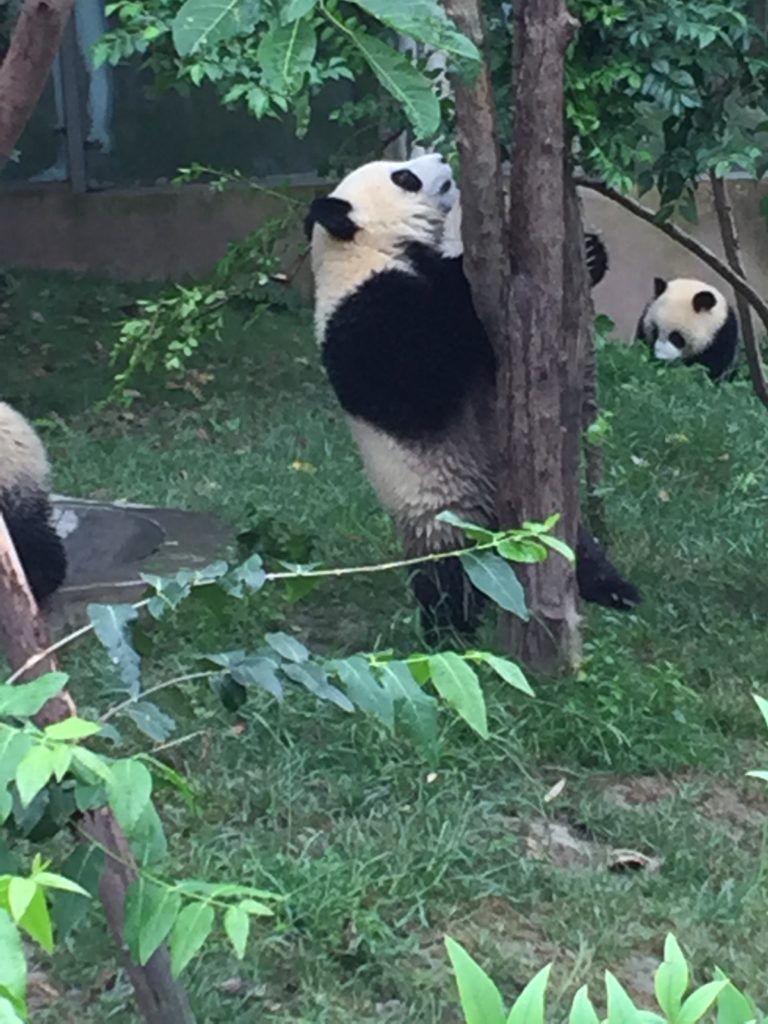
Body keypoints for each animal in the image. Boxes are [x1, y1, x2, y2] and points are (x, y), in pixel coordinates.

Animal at [306, 153, 640, 638]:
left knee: (578, 550)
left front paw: (592, 253)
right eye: (403, 176)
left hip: (546, 523)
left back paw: (616, 592)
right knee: (448, 582)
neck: (359, 251)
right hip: (444, 520)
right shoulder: (360, 320)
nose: (440, 157)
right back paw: (451, 630)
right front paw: (463, 289)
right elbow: (420, 380)